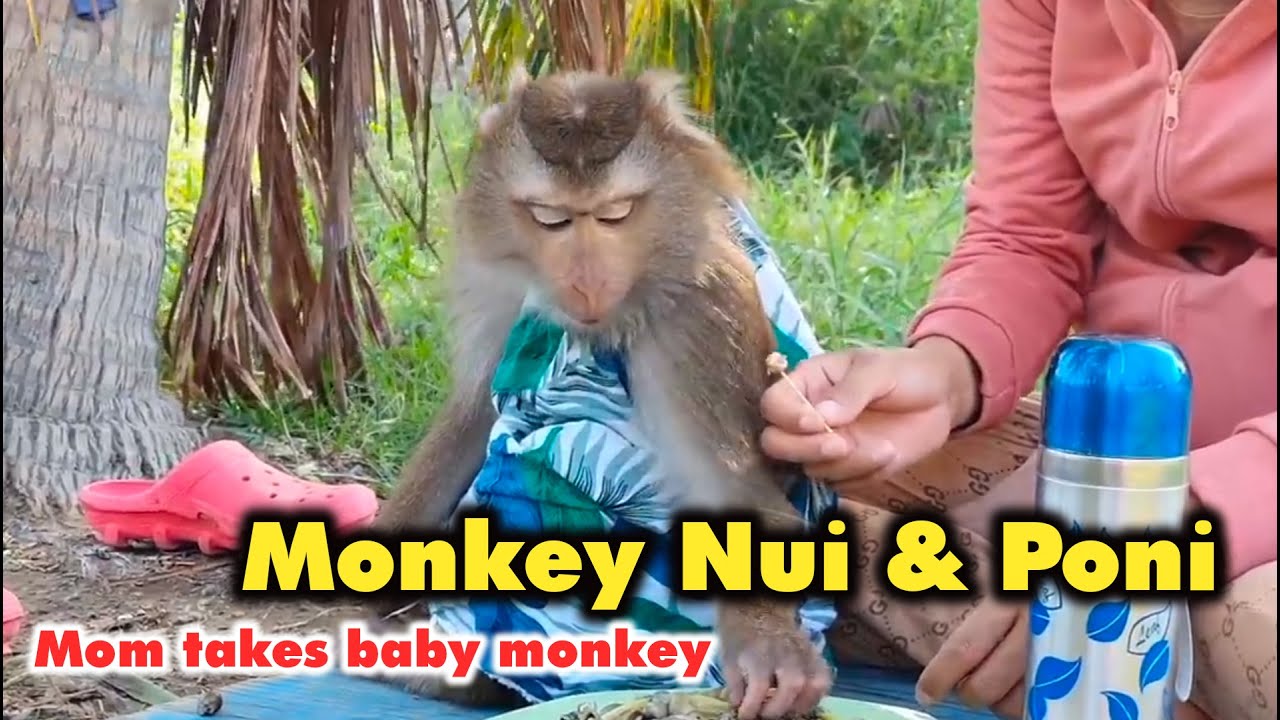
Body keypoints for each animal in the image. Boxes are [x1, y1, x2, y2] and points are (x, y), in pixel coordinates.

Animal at [369, 68, 834, 720]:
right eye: (551, 218)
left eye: (615, 213)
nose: (587, 282)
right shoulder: (505, 284)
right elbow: (473, 410)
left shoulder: (696, 317)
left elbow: (731, 487)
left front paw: (769, 651)